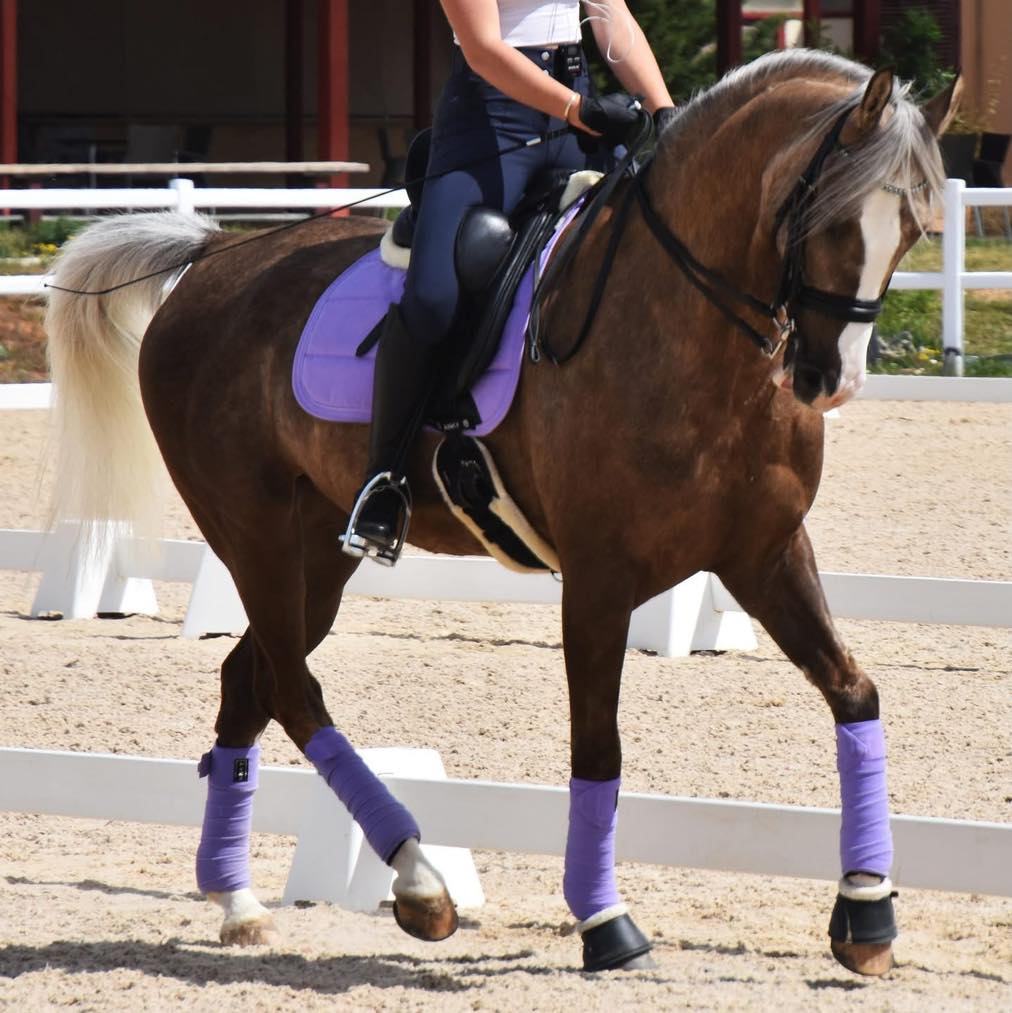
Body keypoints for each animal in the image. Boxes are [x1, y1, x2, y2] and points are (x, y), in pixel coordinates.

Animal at [44, 50, 959, 974]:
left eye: (915, 230)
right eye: (834, 222)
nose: (828, 380)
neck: (686, 330)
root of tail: (217, 255)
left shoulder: (764, 551)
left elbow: (854, 693)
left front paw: (868, 909)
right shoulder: (597, 577)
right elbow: (598, 745)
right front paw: (606, 922)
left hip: (317, 551)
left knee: (252, 680)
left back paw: (238, 903)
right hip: (252, 532)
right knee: (294, 690)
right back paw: (419, 883)